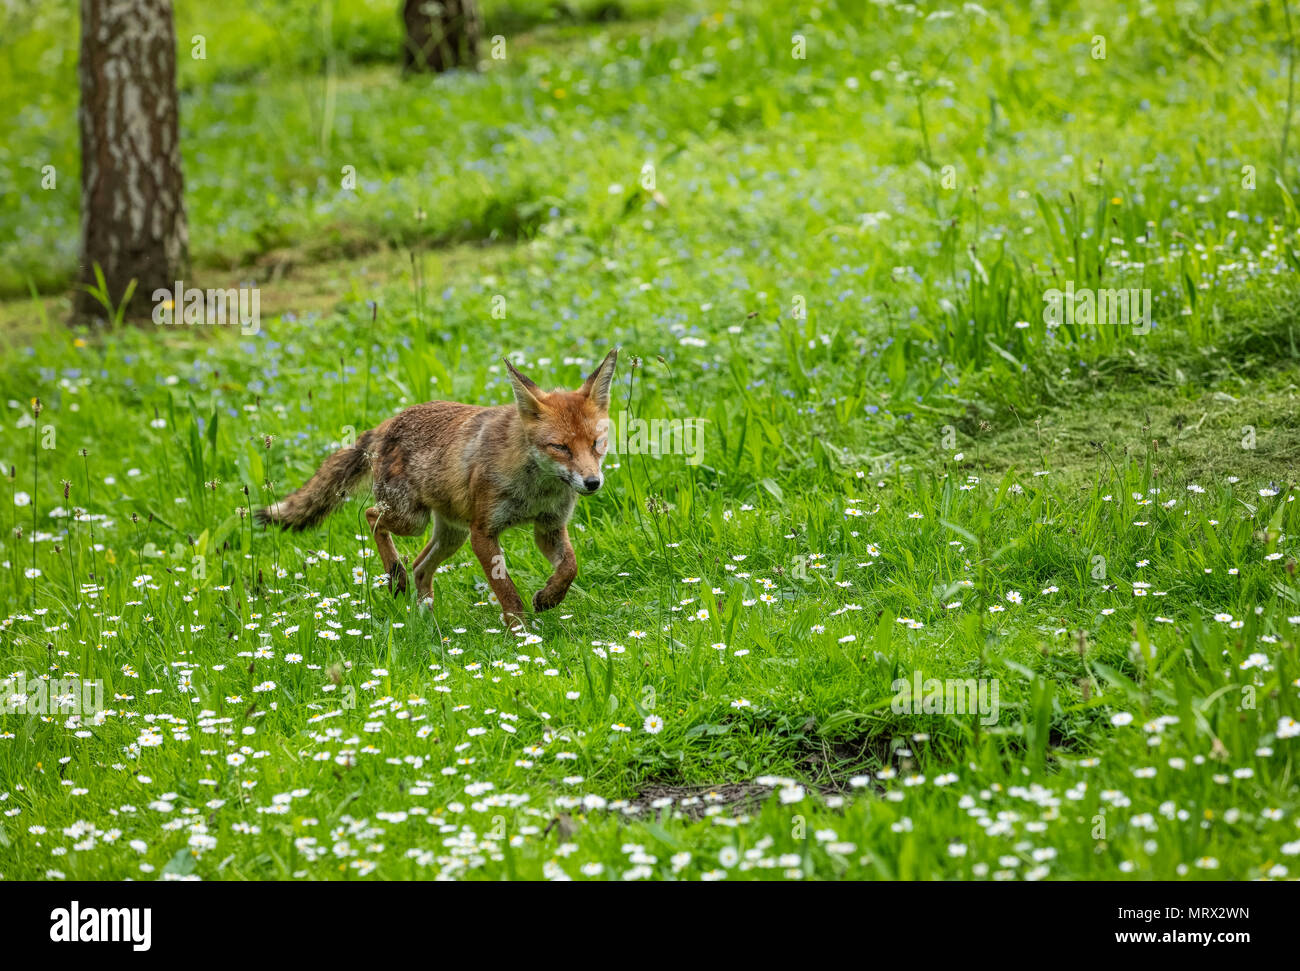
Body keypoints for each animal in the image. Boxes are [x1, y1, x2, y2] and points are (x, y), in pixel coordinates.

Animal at [256, 349, 618, 629]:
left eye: (596, 443)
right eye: (560, 447)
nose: (593, 483)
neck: (536, 490)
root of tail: (386, 424)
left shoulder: (549, 527)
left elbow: (569, 568)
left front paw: (548, 598)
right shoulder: (483, 532)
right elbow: (507, 592)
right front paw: (522, 634)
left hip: (451, 535)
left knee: (419, 567)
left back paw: (426, 620)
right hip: (413, 520)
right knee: (374, 518)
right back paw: (396, 576)